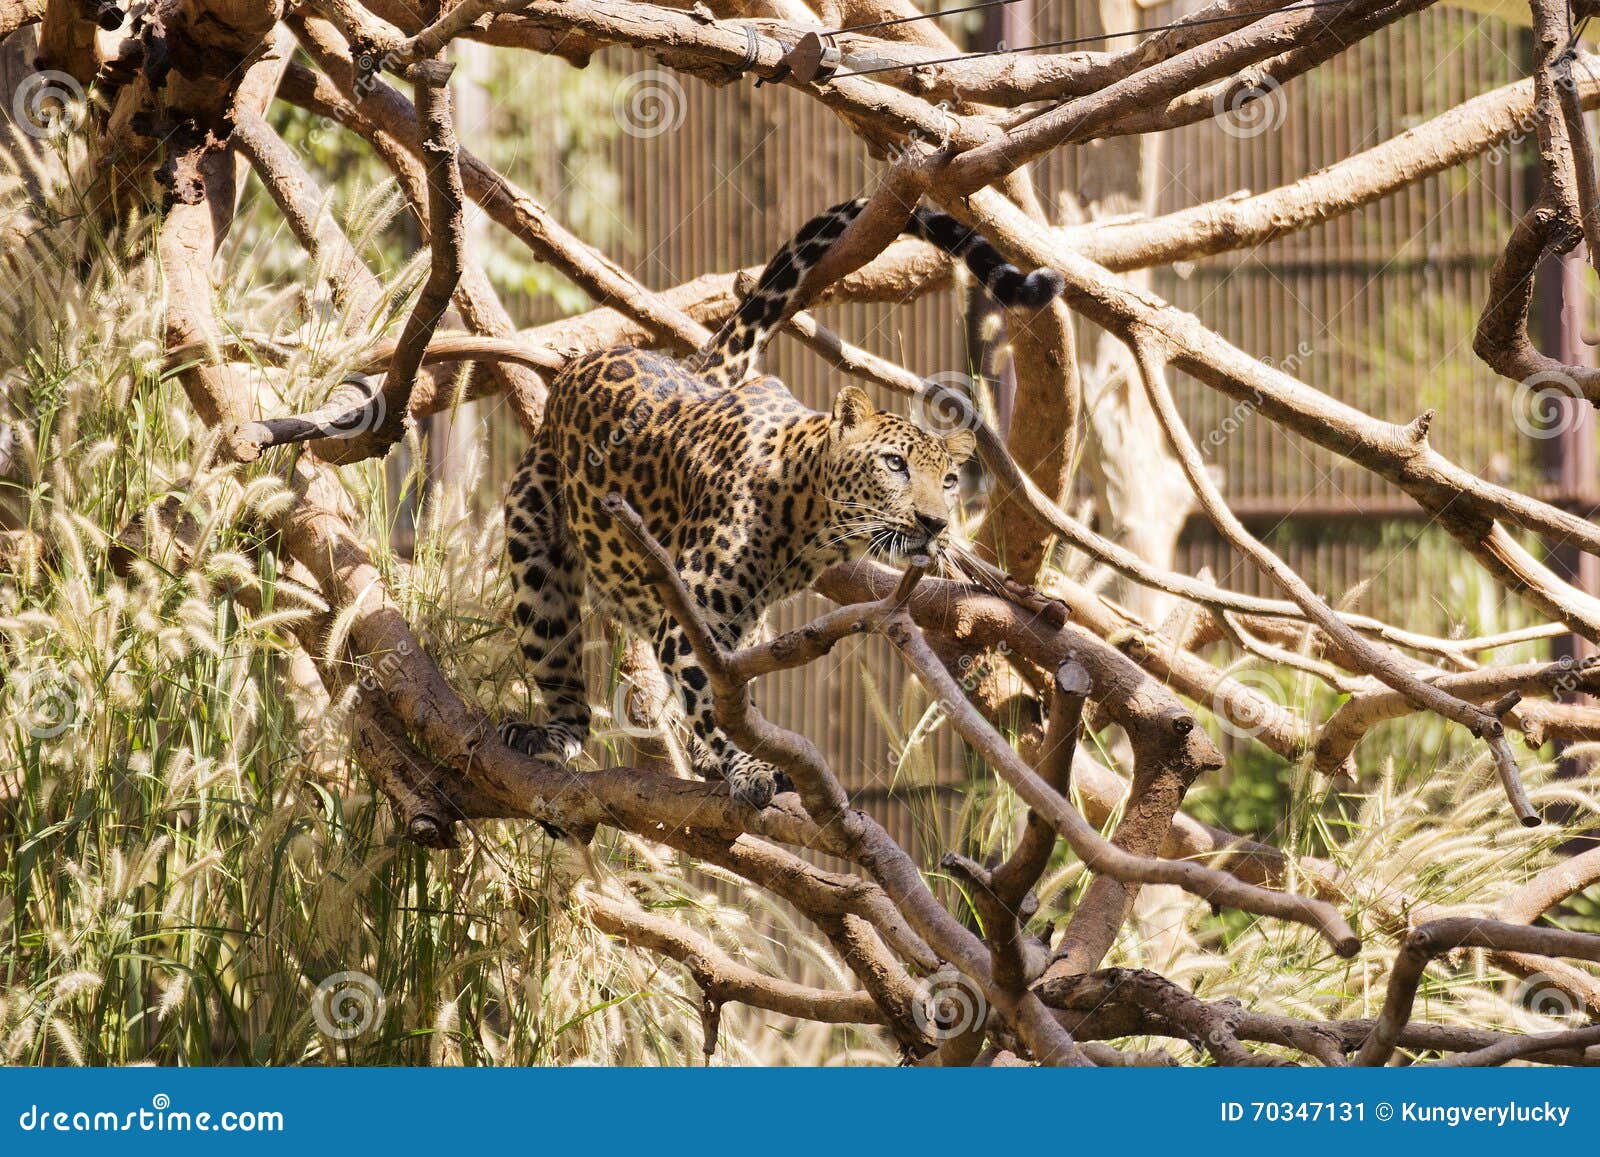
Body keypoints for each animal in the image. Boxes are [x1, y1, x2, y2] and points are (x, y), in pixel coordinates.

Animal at [500, 198, 1065, 810]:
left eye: (950, 481)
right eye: (895, 464)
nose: (935, 522)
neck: (810, 526)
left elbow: (729, 699)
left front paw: (739, 759)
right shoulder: (694, 620)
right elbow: (717, 704)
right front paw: (749, 767)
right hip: (535, 549)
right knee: (557, 660)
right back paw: (551, 732)